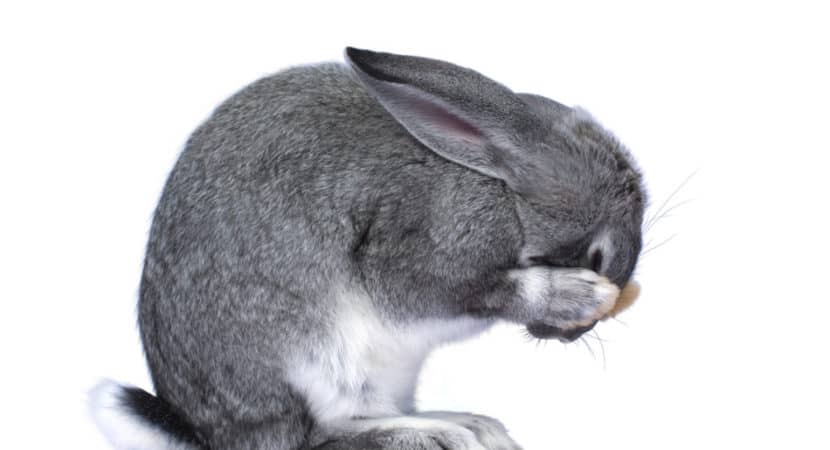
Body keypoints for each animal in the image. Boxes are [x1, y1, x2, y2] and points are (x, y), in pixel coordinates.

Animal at [89, 47, 646, 450]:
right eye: (598, 257)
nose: (570, 336)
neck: (501, 186)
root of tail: (208, 433)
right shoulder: (422, 250)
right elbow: (479, 289)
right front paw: (576, 296)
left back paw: (469, 425)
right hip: (317, 355)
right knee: (317, 434)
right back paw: (442, 435)